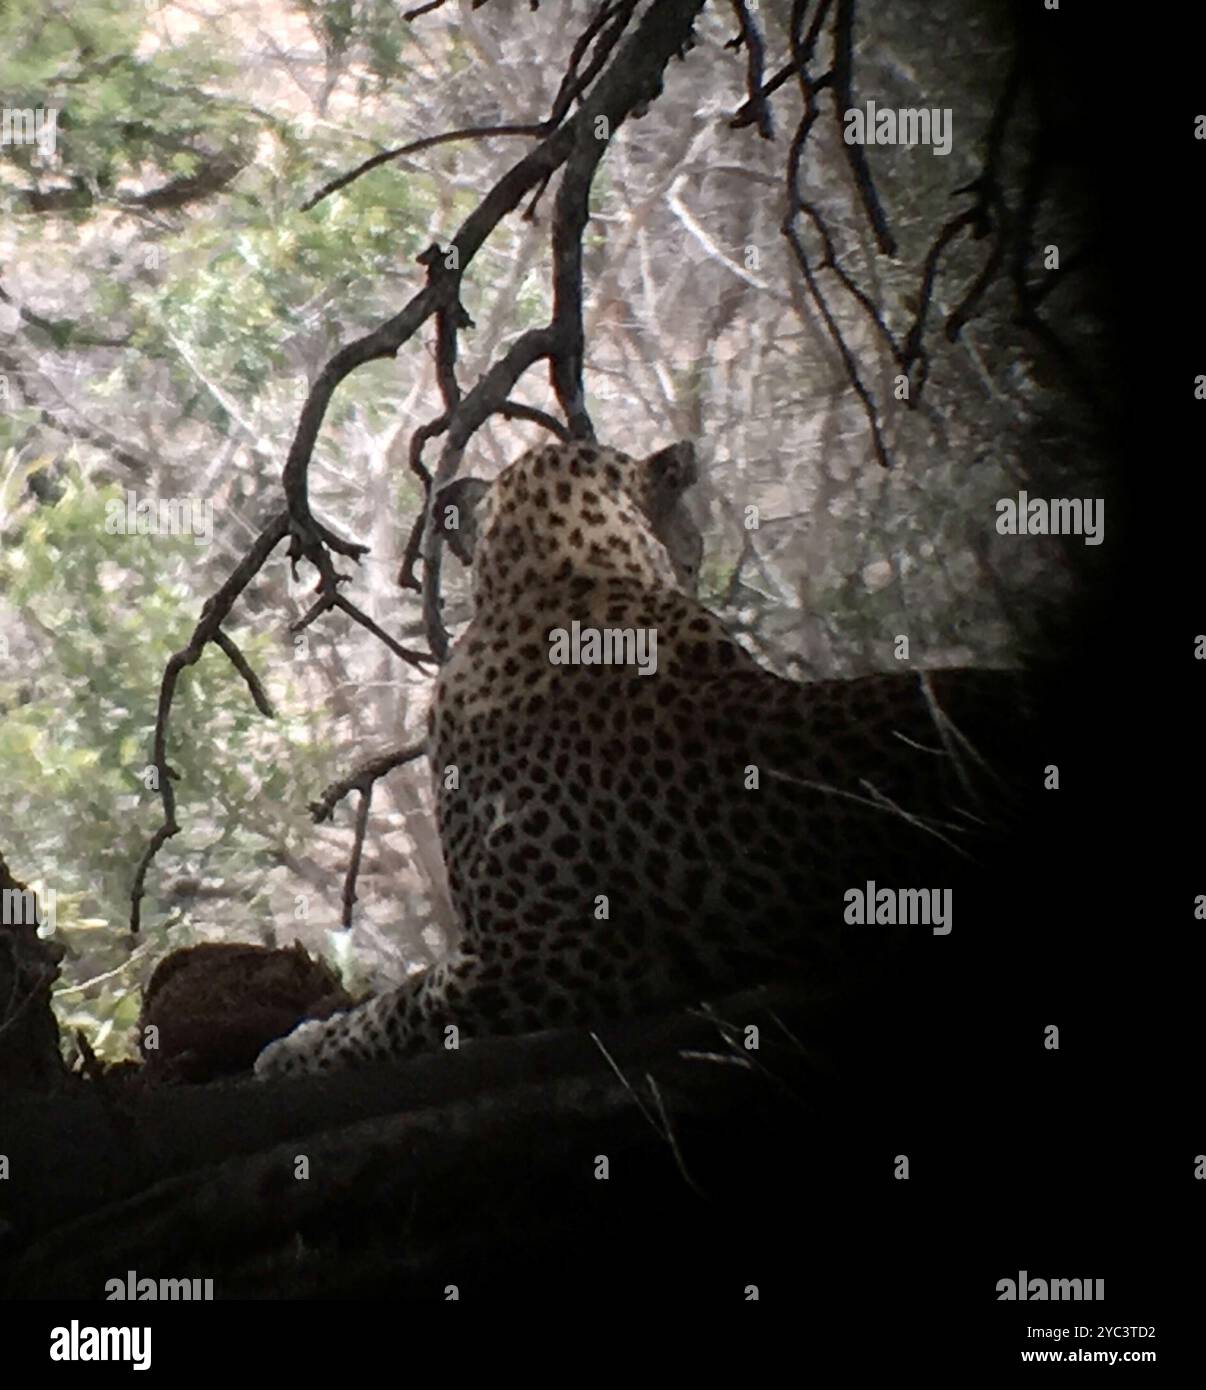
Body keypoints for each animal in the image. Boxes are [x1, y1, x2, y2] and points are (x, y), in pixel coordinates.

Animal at [254, 439, 1028, 1078]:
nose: (701, 545)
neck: (560, 581)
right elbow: (400, 1003)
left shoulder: (540, 959)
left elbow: (398, 1007)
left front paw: (293, 1049)